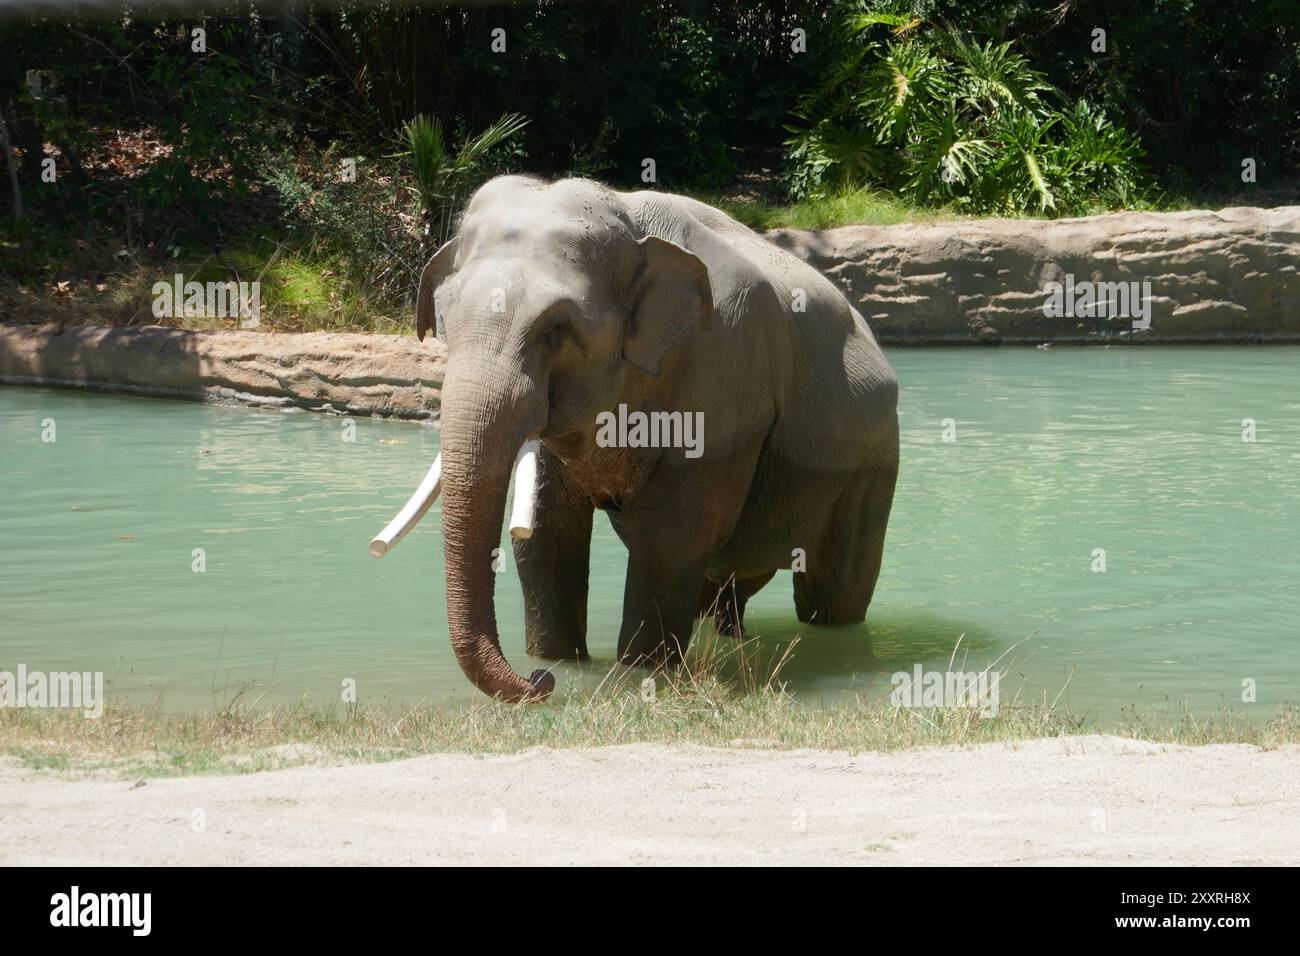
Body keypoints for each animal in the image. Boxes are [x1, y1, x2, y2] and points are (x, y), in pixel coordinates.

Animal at [415, 175, 899, 702]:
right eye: (446, 319)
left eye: (557, 328)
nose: (540, 684)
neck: (627, 216)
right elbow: (548, 535)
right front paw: (558, 661)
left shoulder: (724, 381)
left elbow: (672, 534)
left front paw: (640, 671)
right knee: (726, 583)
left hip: (872, 465)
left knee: (832, 593)